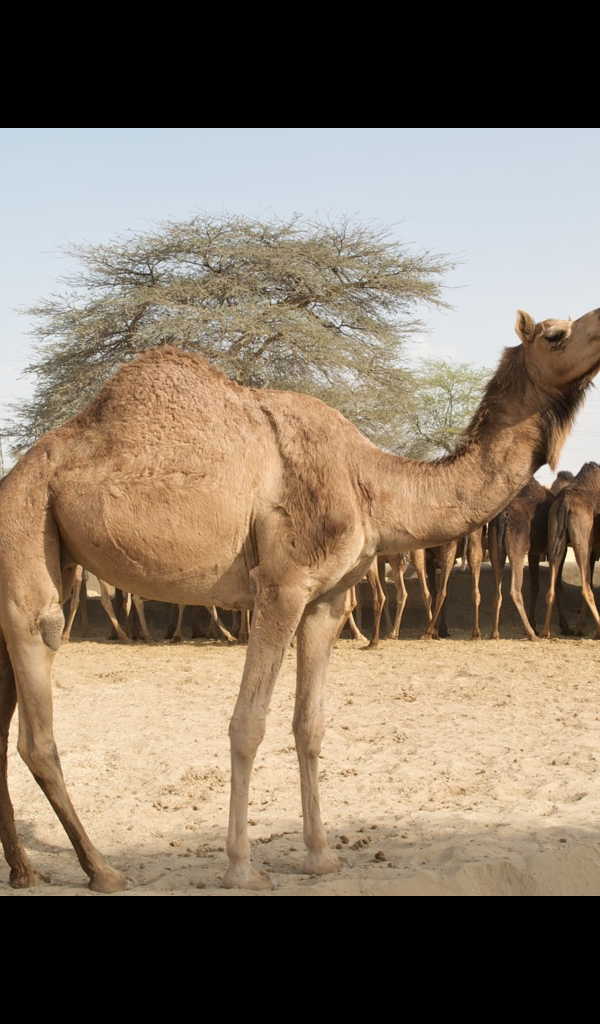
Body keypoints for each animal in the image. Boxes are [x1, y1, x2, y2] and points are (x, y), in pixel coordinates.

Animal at [542, 462, 600, 638]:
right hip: (582, 538)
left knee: (553, 586)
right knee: (585, 587)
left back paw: (546, 631)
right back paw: (597, 630)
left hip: (555, 533)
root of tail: (565, 503)